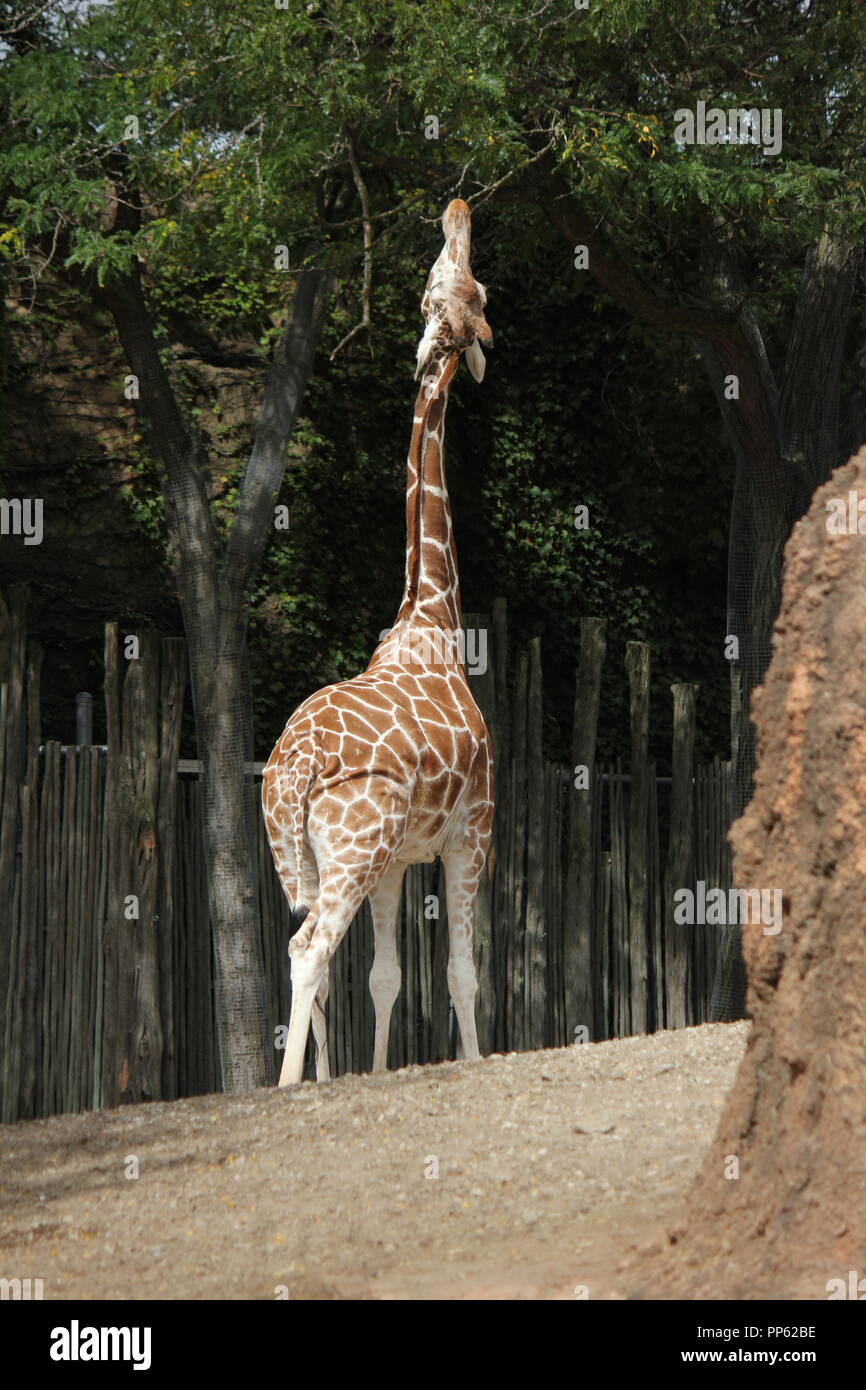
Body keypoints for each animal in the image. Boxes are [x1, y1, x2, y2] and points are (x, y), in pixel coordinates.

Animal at [262, 198, 494, 1087]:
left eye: (441, 280)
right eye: (465, 282)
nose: (456, 208)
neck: (432, 615)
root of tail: (292, 772)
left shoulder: (402, 858)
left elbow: (388, 976)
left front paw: (378, 1069)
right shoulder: (474, 827)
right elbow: (463, 971)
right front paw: (476, 1060)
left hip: (310, 857)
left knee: (321, 960)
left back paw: (319, 1077)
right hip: (354, 846)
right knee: (307, 947)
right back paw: (287, 1089)